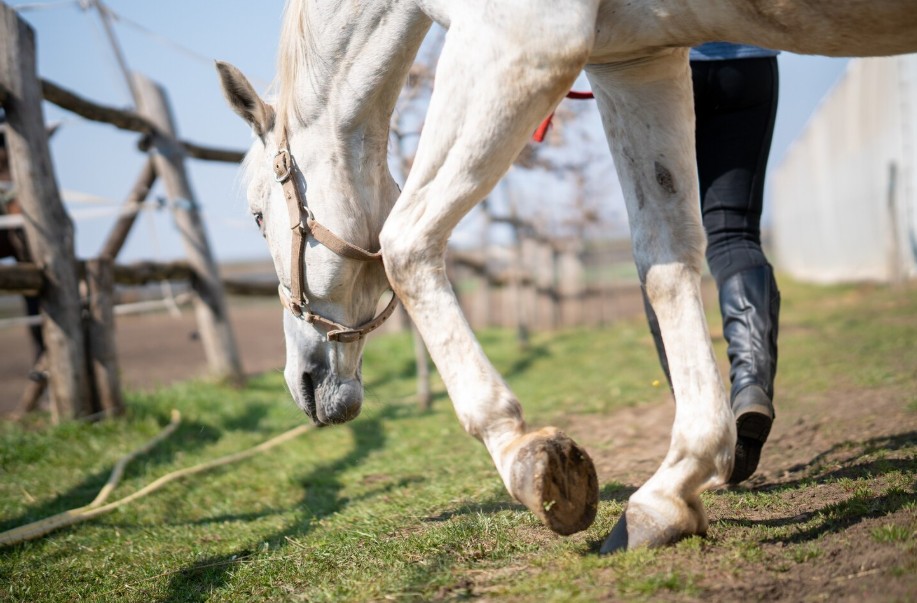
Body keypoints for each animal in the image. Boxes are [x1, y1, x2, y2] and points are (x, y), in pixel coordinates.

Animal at [217, 0, 917, 552]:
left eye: (256, 213)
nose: (302, 382)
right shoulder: (636, 60)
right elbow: (664, 258)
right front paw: (671, 492)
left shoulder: (518, 41)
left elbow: (405, 241)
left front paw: (524, 454)